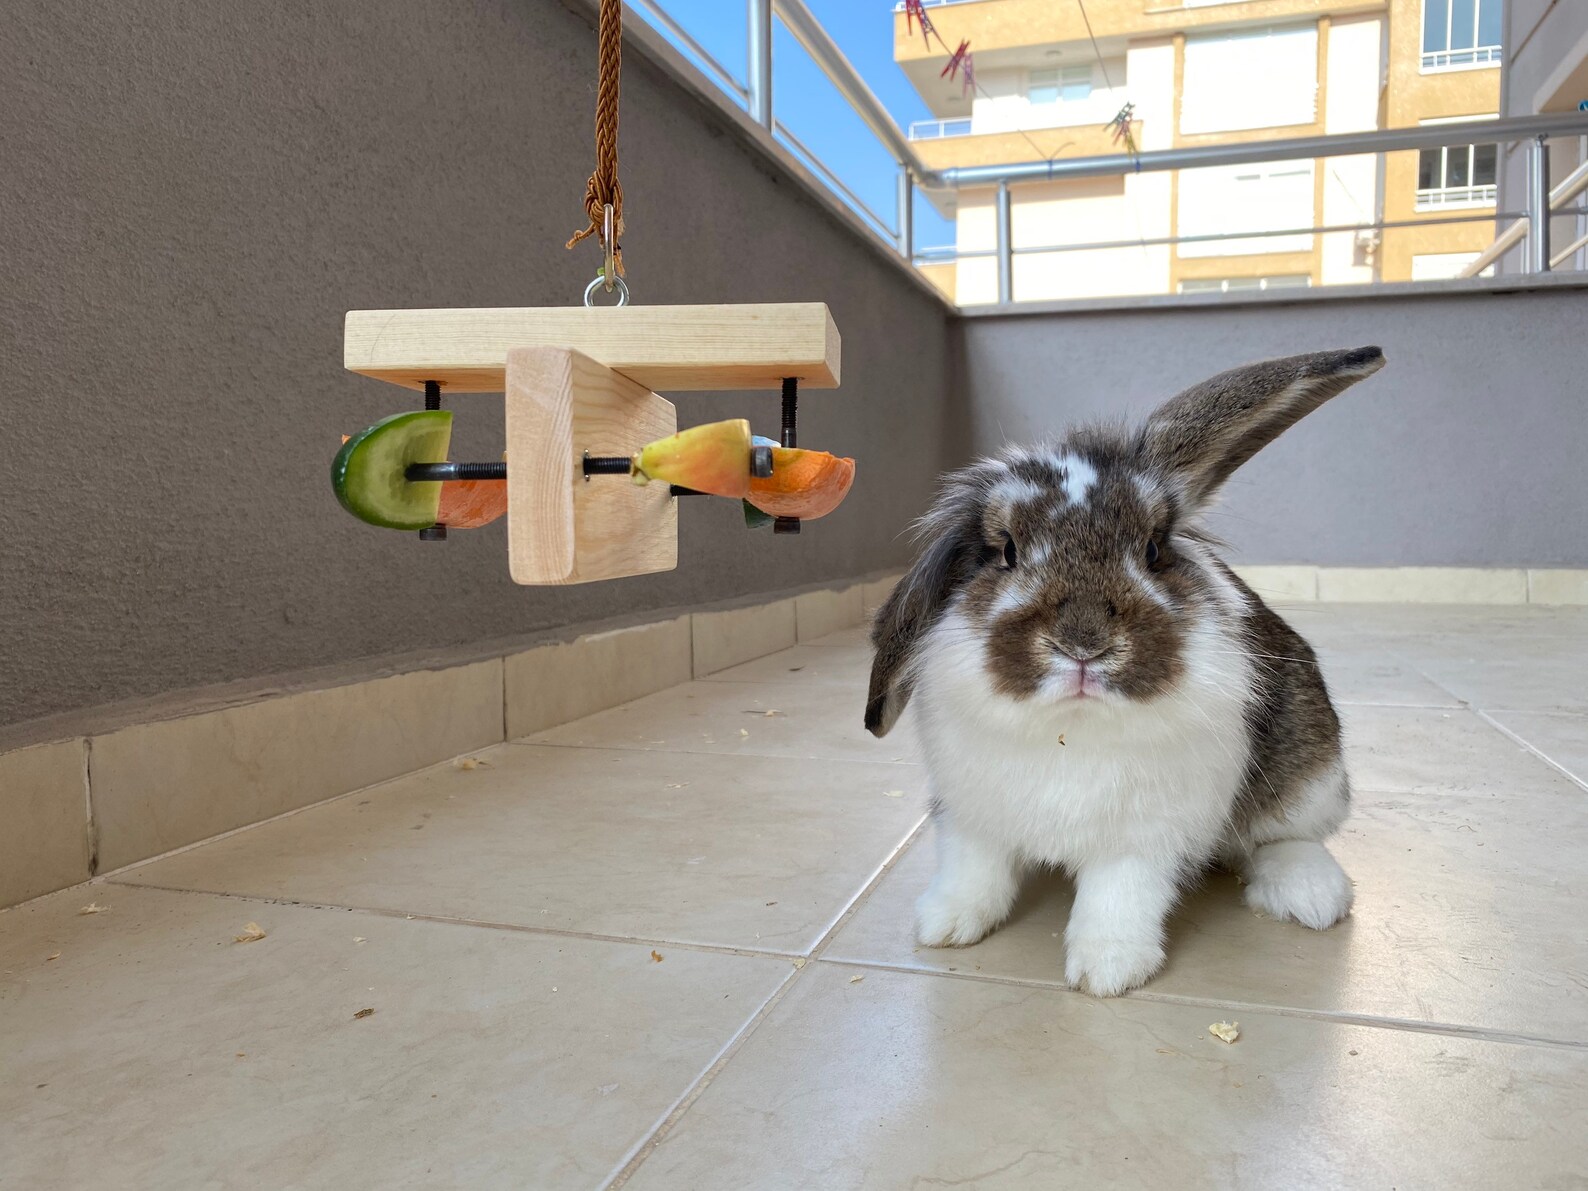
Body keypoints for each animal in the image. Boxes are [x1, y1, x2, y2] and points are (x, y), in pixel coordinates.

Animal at [865, 346, 1385, 997]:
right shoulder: (969, 815)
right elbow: (974, 871)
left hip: (1313, 775)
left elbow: (1117, 897)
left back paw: (1313, 895)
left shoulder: (1143, 839)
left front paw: (1107, 970)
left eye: (1153, 550)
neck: (1073, 727)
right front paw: (946, 924)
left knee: (1280, 838)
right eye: (1006, 551)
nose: (1083, 644)